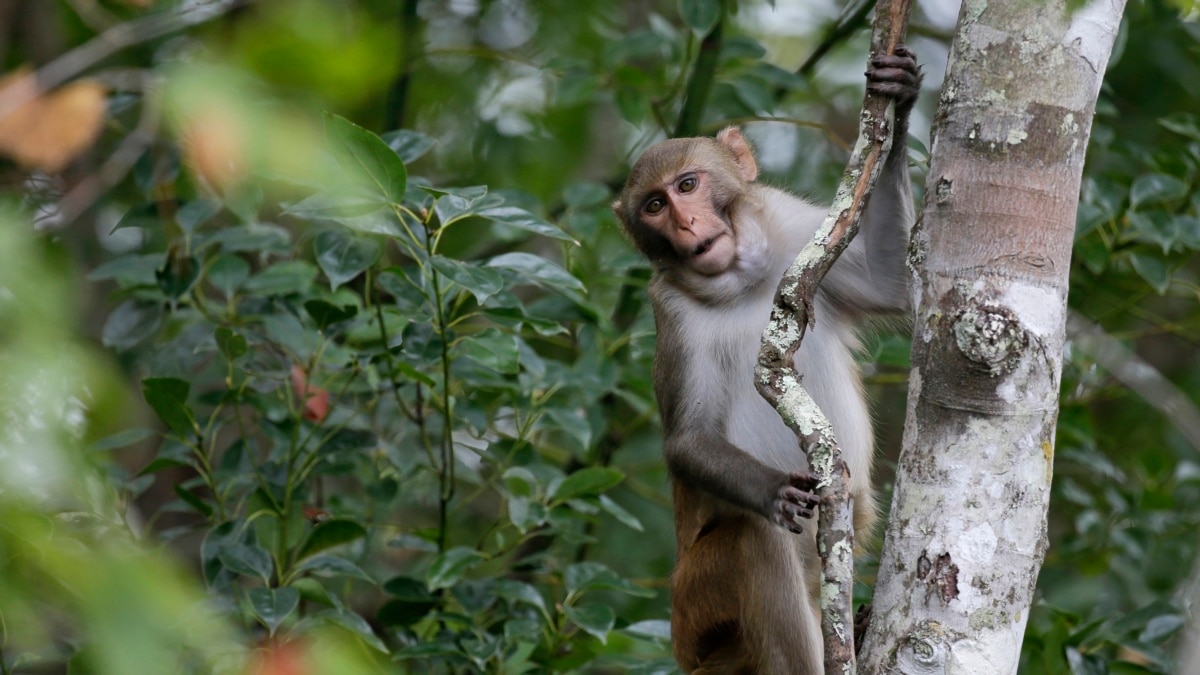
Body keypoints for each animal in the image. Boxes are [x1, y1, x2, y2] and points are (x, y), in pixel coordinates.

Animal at [612, 46, 920, 674]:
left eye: (687, 184)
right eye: (654, 205)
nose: (686, 224)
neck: (742, 282)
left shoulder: (796, 229)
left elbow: (894, 283)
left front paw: (899, 102)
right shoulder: (672, 314)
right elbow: (689, 441)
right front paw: (775, 490)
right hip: (697, 606)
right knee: (755, 543)